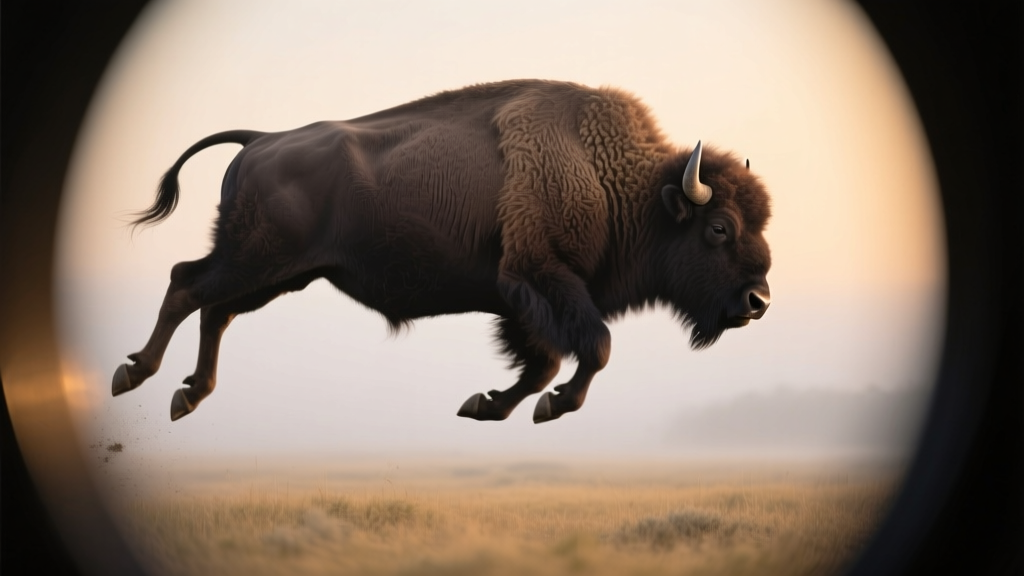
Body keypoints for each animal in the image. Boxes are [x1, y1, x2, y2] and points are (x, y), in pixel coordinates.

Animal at [112, 79, 772, 424]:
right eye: (719, 228)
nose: (758, 301)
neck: (611, 181)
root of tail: (262, 140)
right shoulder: (541, 277)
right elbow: (593, 348)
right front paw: (551, 406)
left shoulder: (522, 298)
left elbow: (544, 360)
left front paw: (486, 405)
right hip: (257, 260)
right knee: (187, 285)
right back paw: (135, 374)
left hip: (279, 274)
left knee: (215, 308)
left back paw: (188, 394)